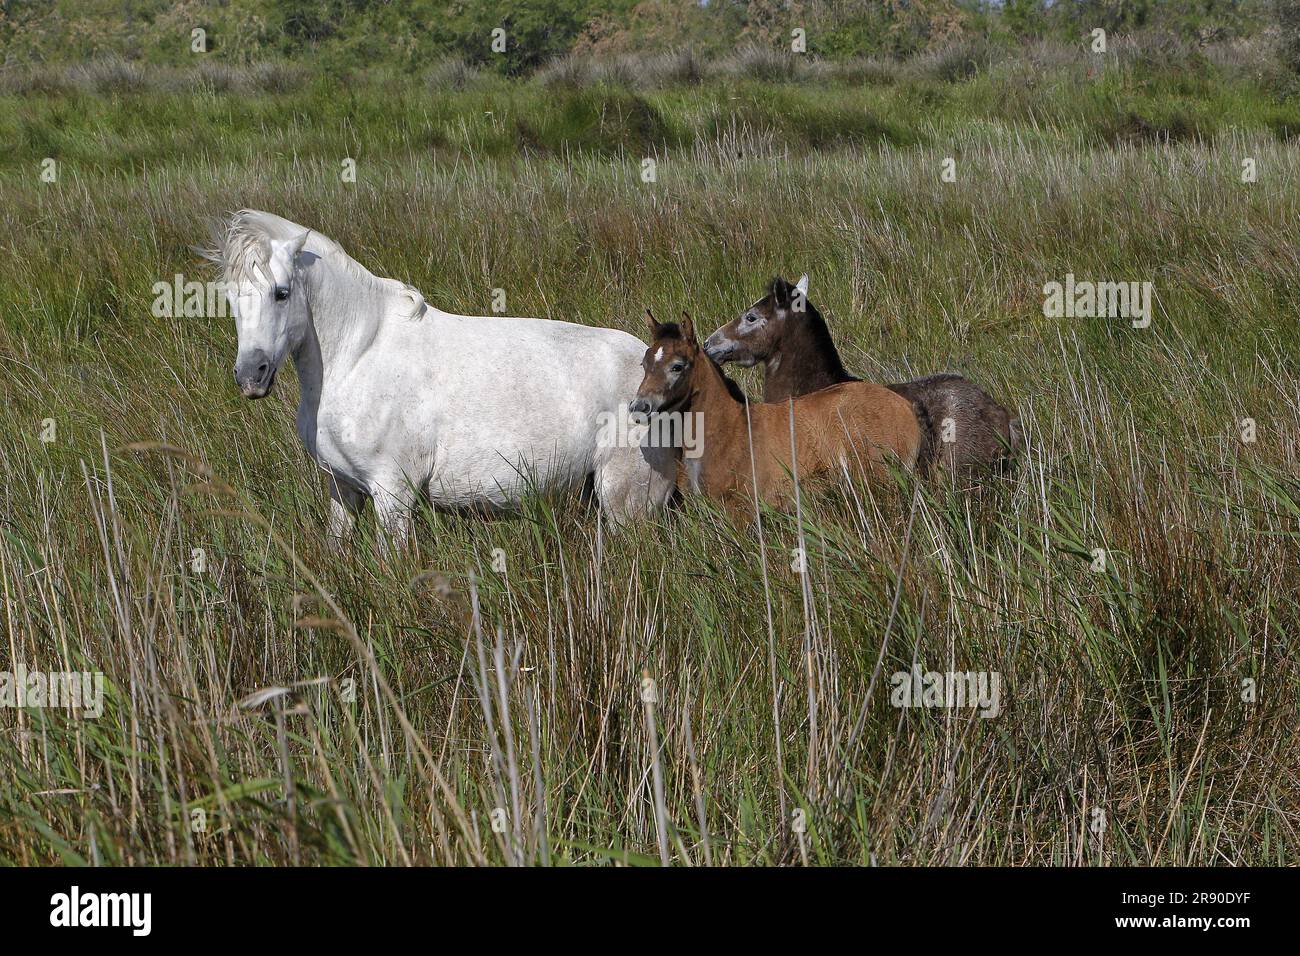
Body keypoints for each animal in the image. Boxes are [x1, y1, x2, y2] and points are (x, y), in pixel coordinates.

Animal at [207, 209, 675, 547]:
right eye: (230, 297)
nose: (250, 375)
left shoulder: (393, 495)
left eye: (281, 293)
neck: (360, 355)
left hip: (626, 502)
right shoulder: (342, 488)